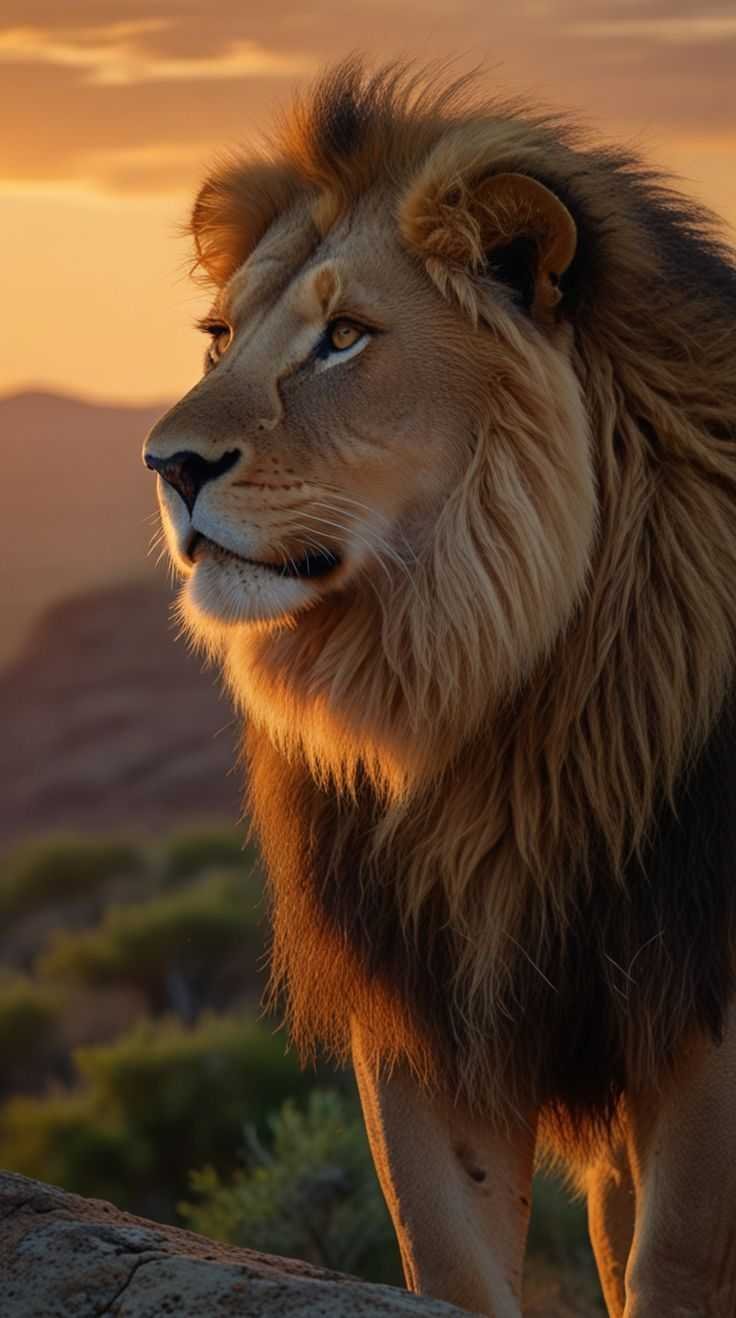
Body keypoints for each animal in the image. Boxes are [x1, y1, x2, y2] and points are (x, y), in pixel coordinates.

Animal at [144, 61, 736, 1317]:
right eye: (220, 338)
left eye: (343, 338)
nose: (167, 465)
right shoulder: (423, 987)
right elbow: (448, 1256)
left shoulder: (702, 990)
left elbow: (675, 1261)